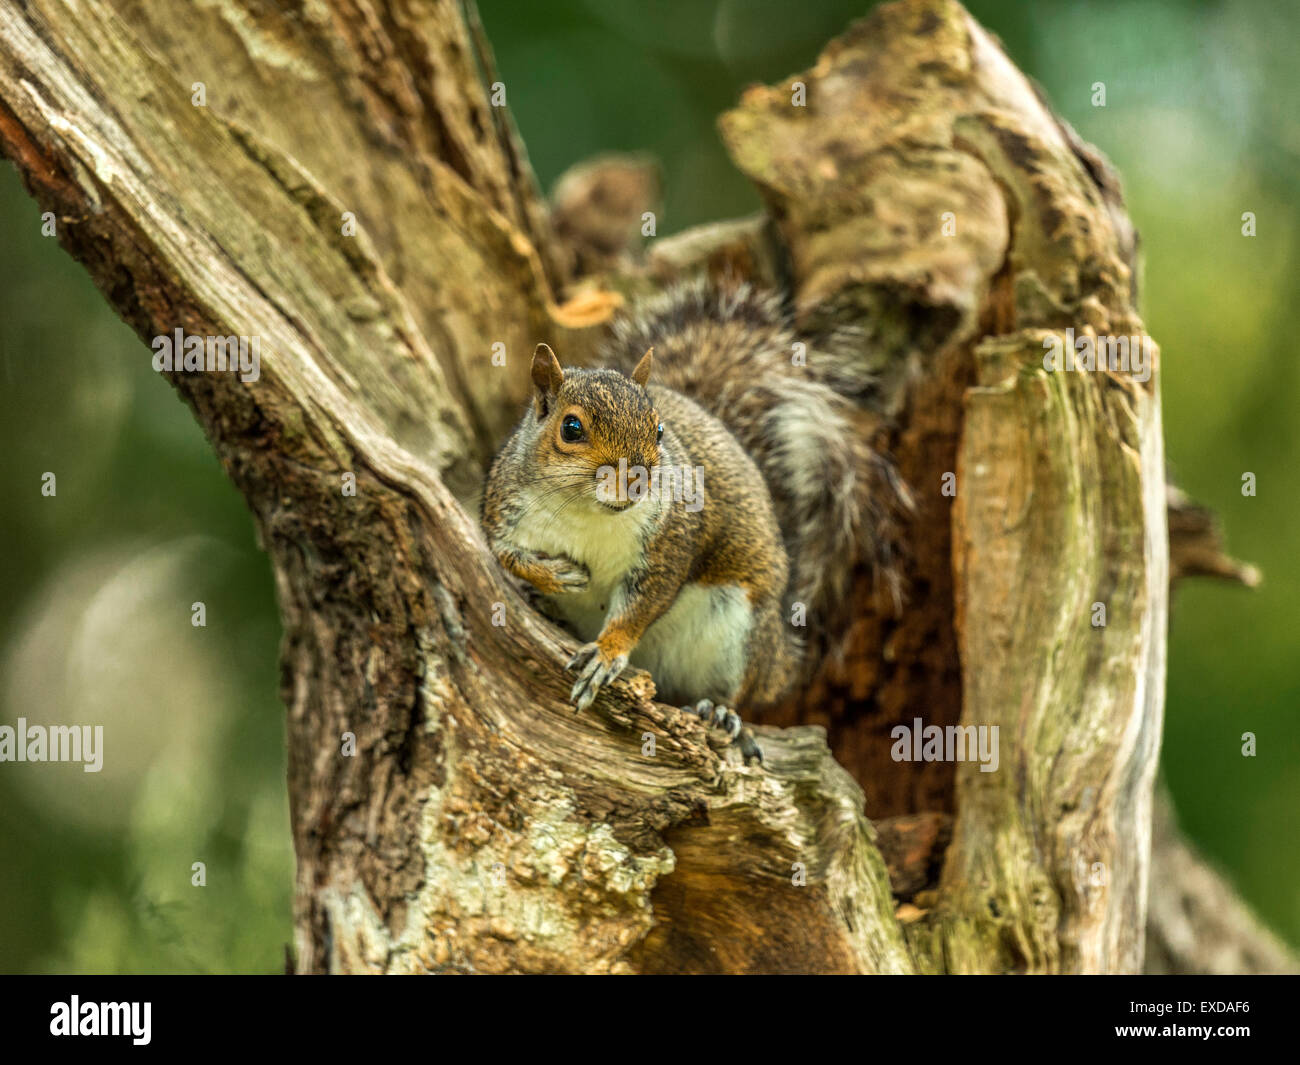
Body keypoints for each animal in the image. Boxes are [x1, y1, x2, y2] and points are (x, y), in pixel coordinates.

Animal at [481, 279, 904, 763]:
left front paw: (606, 653)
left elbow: (642, 606)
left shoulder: (670, 542)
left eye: (659, 430)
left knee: (734, 690)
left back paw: (719, 712)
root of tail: (779, 654)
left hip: (738, 636)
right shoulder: (502, 510)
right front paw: (555, 576)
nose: (637, 481)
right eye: (571, 428)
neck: (585, 513)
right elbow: (505, 555)